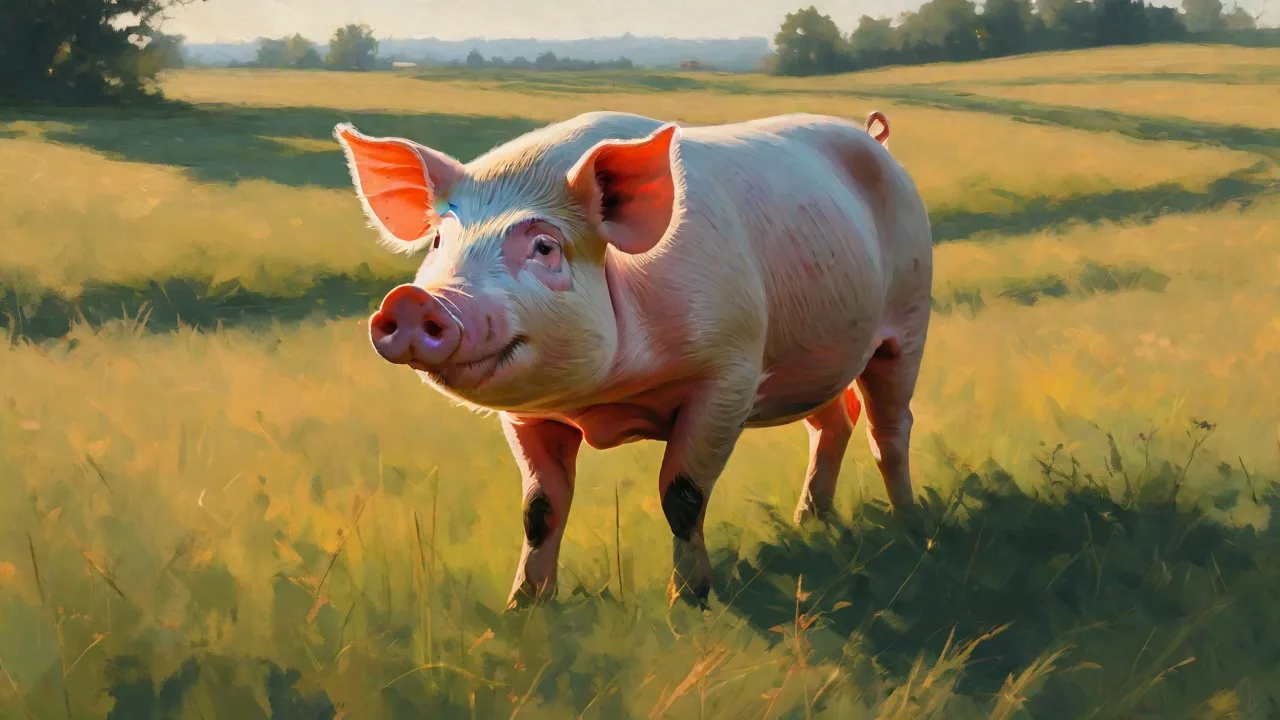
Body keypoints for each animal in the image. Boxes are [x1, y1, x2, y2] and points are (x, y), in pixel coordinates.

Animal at [333, 108, 932, 610]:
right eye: (438, 242)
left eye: (545, 247)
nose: (414, 301)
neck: (602, 399)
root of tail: (874, 138)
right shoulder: (526, 415)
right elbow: (540, 509)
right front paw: (521, 610)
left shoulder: (729, 371)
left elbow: (681, 494)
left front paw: (688, 605)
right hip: (815, 359)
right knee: (834, 421)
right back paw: (811, 524)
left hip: (909, 315)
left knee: (889, 426)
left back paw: (909, 527)